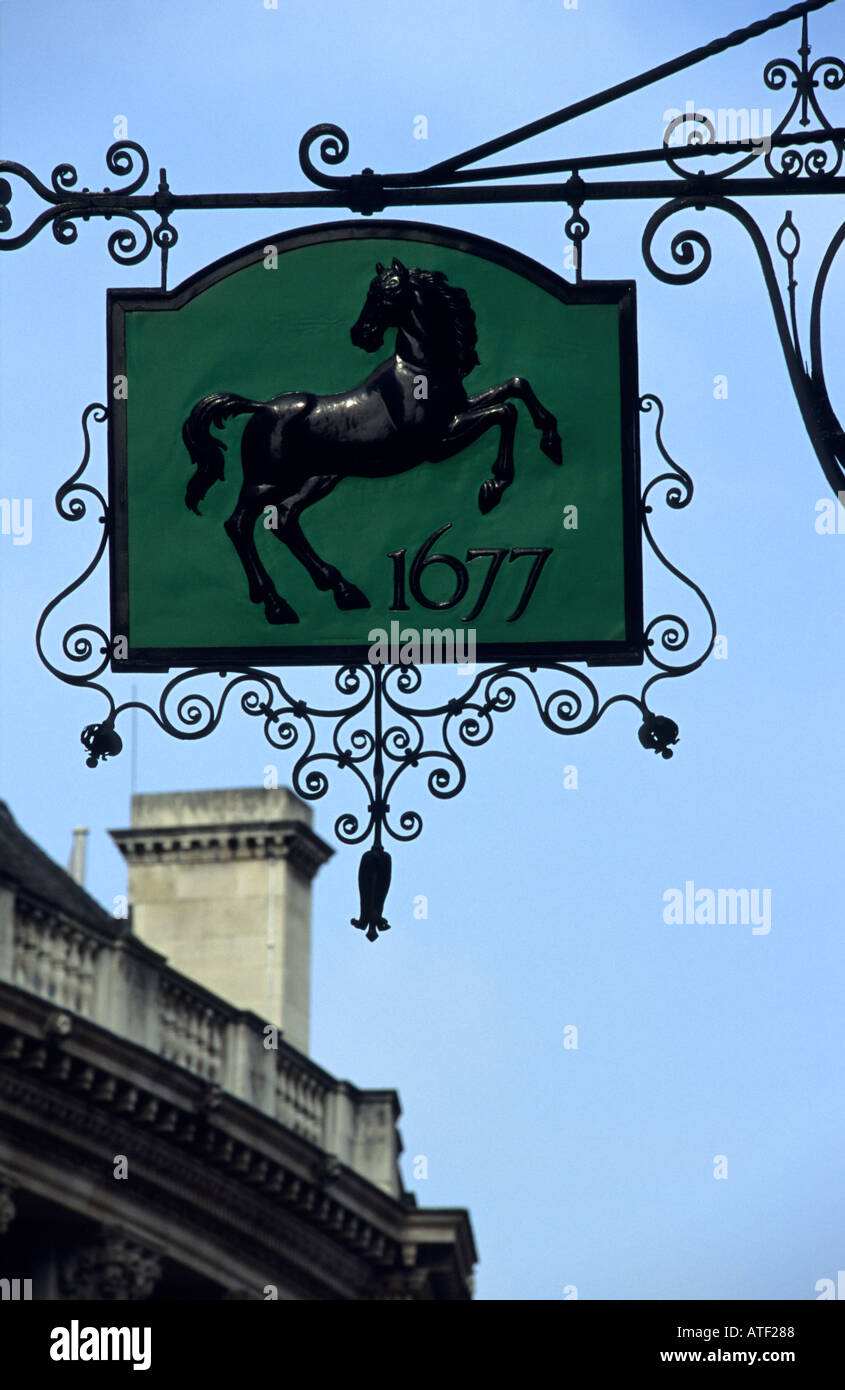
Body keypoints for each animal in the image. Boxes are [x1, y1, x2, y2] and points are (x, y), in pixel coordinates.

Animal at [182, 259, 564, 625]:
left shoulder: (459, 411)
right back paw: (276, 605)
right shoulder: (438, 443)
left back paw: (342, 590)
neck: (419, 370)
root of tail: (260, 407)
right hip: (265, 481)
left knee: (286, 519)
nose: (360, 334)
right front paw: (493, 488)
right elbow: (505, 412)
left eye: (389, 291)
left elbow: (516, 386)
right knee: (238, 525)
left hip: (318, 478)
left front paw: (552, 442)